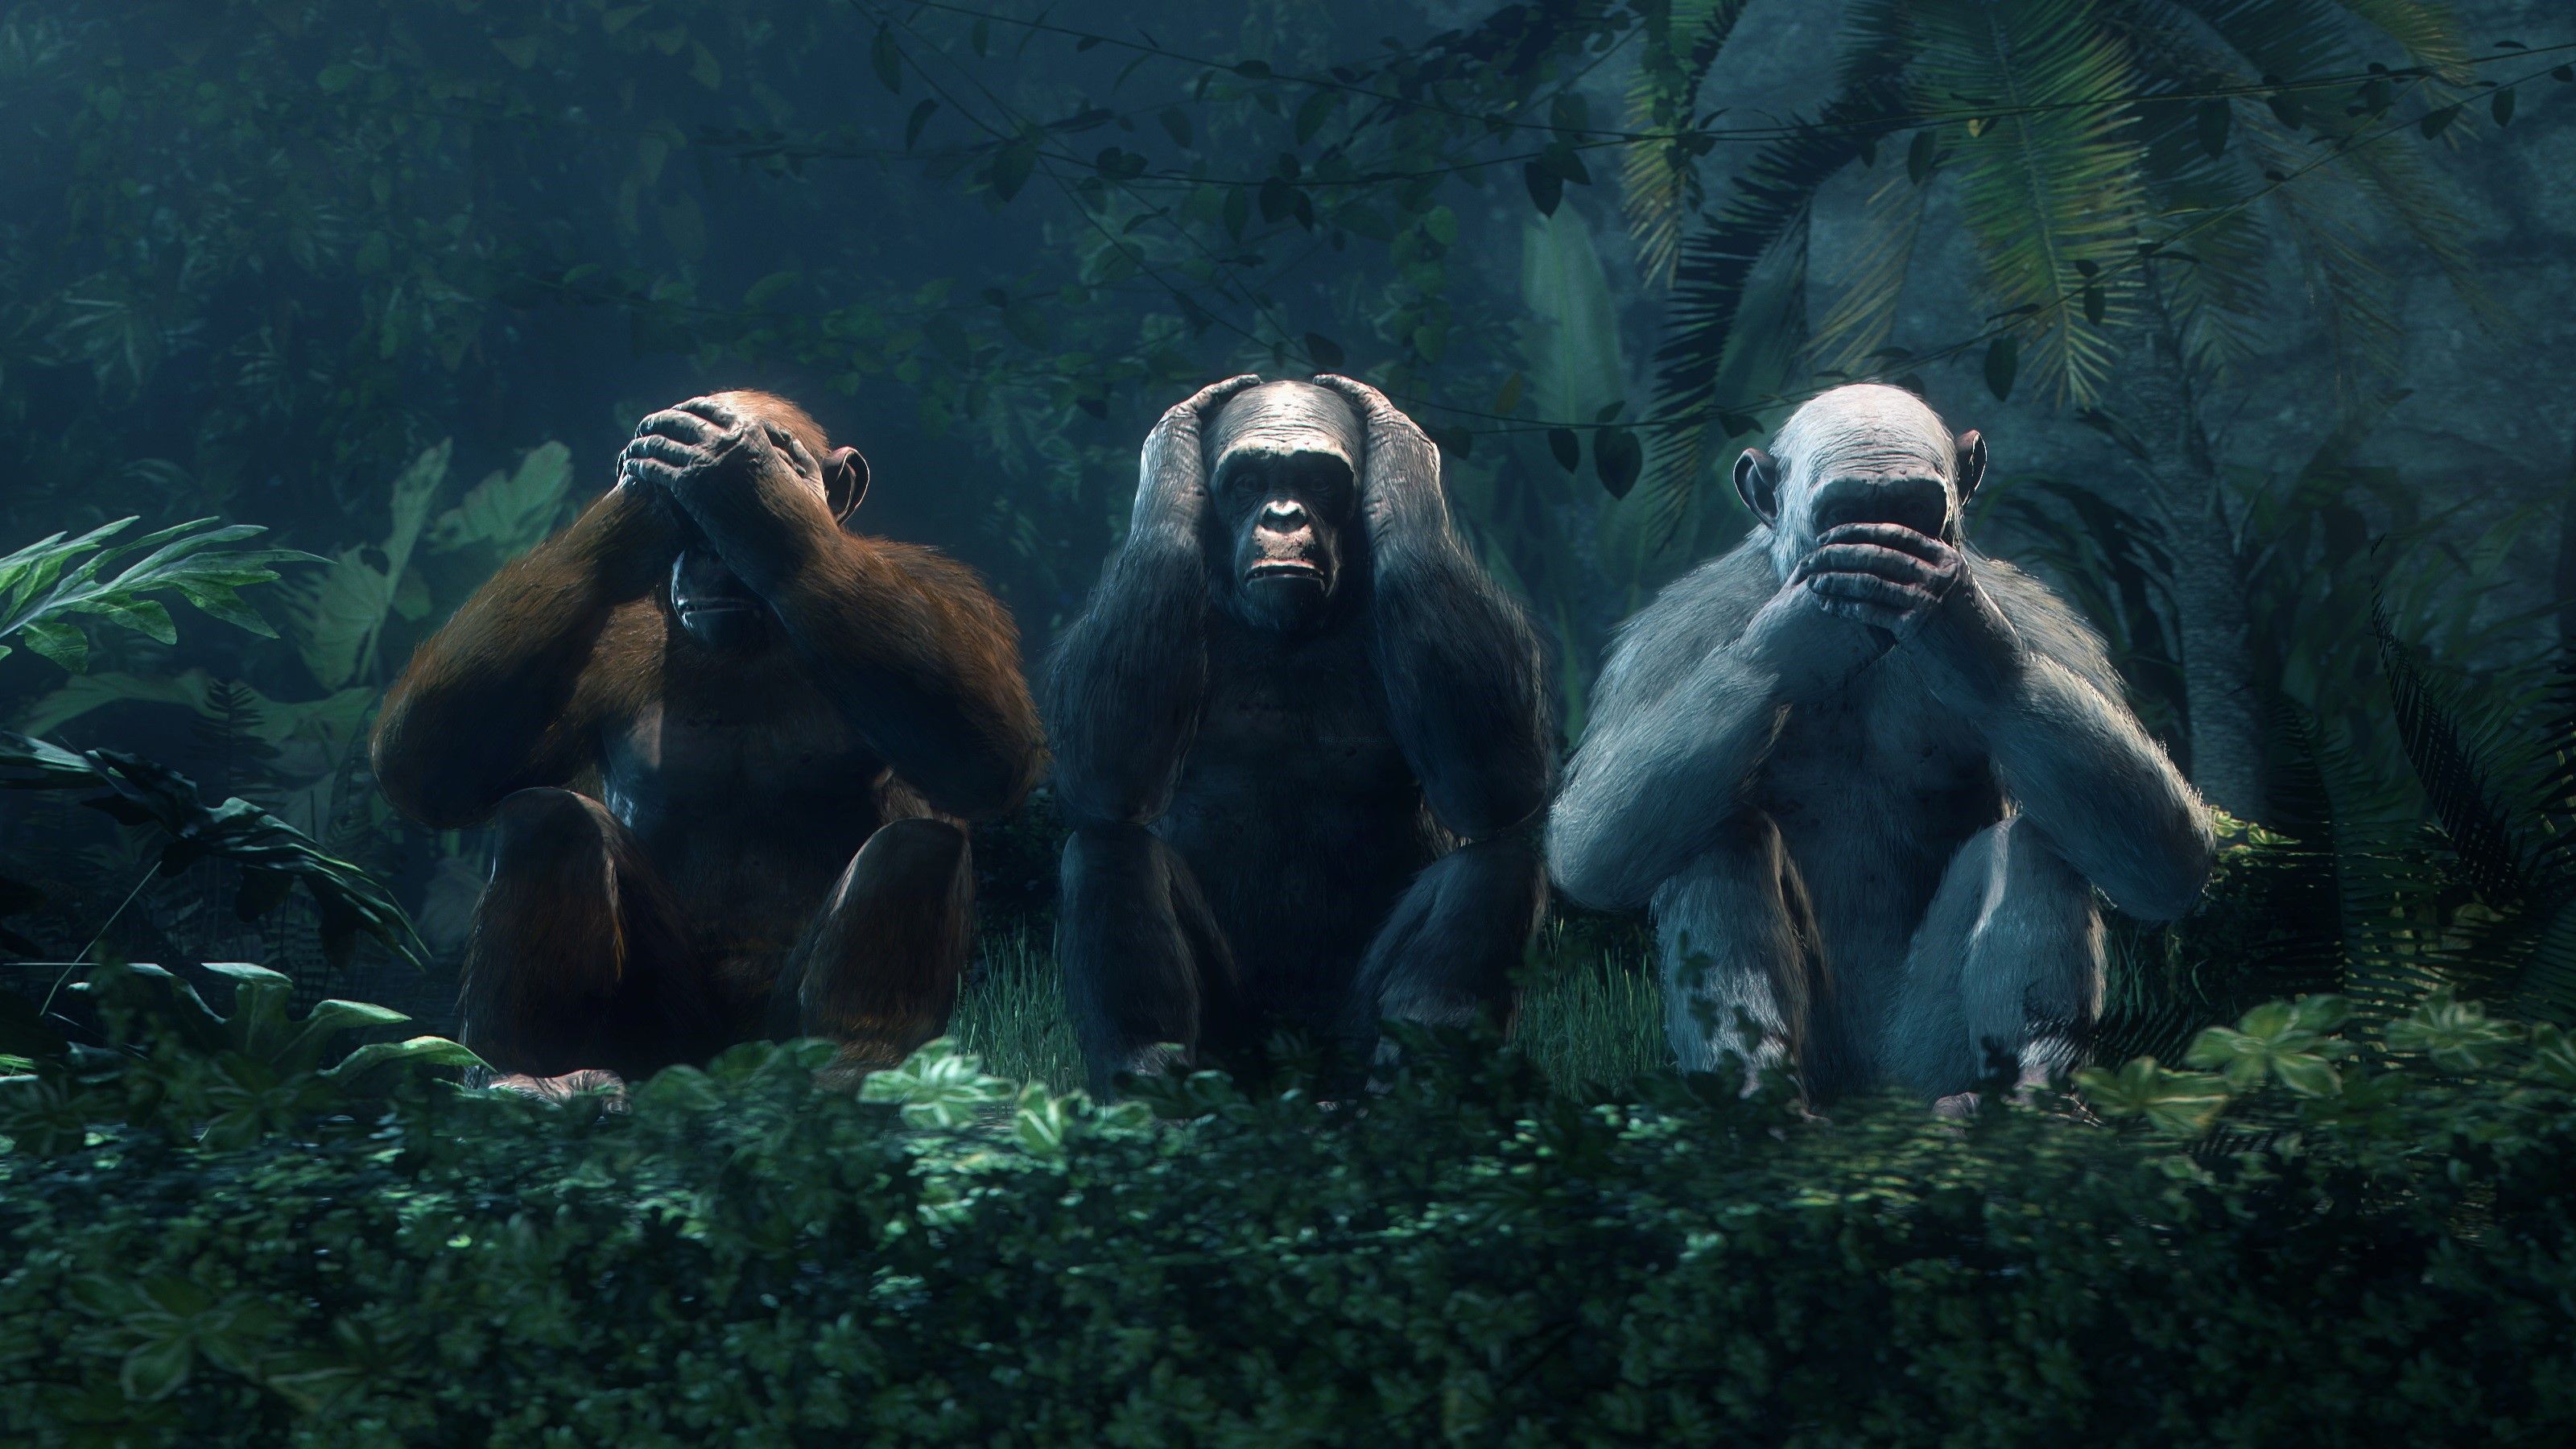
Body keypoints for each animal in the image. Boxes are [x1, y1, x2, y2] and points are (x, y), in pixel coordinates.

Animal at [371, 391, 1045, 1087]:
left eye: (714, 529)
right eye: (686, 530)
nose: (710, 558)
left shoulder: (948, 590)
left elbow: (988, 752)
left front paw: (746, 482)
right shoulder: (604, 635)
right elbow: (431, 771)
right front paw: (638, 501)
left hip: (770, 1041)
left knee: (917, 845)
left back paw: (857, 1059)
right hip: (660, 1045)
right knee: (545, 815)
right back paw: (535, 1074)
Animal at [1043, 374, 1557, 1094]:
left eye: (1318, 481)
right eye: (1247, 481)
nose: (1283, 517)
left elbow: (1497, 784)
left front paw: (1399, 449)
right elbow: (1105, 774)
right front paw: (1172, 451)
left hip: (1344, 1053)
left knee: (1501, 852)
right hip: (1239, 1059)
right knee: (1108, 842)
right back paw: (1150, 1078)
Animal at [1546, 383, 2212, 1111]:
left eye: (1911, 508)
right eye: (1846, 512)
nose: (1881, 551)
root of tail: (1872, 1097)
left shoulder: (2049, 630)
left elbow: (2166, 863)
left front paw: (1957, 627)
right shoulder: (1671, 634)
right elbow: (1591, 847)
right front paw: (1797, 634)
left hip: (1926, 1057)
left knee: (2043, 837)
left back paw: (2025, 1089)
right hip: (1834, 1062)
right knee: (1718, 836)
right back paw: (1758, 1089)